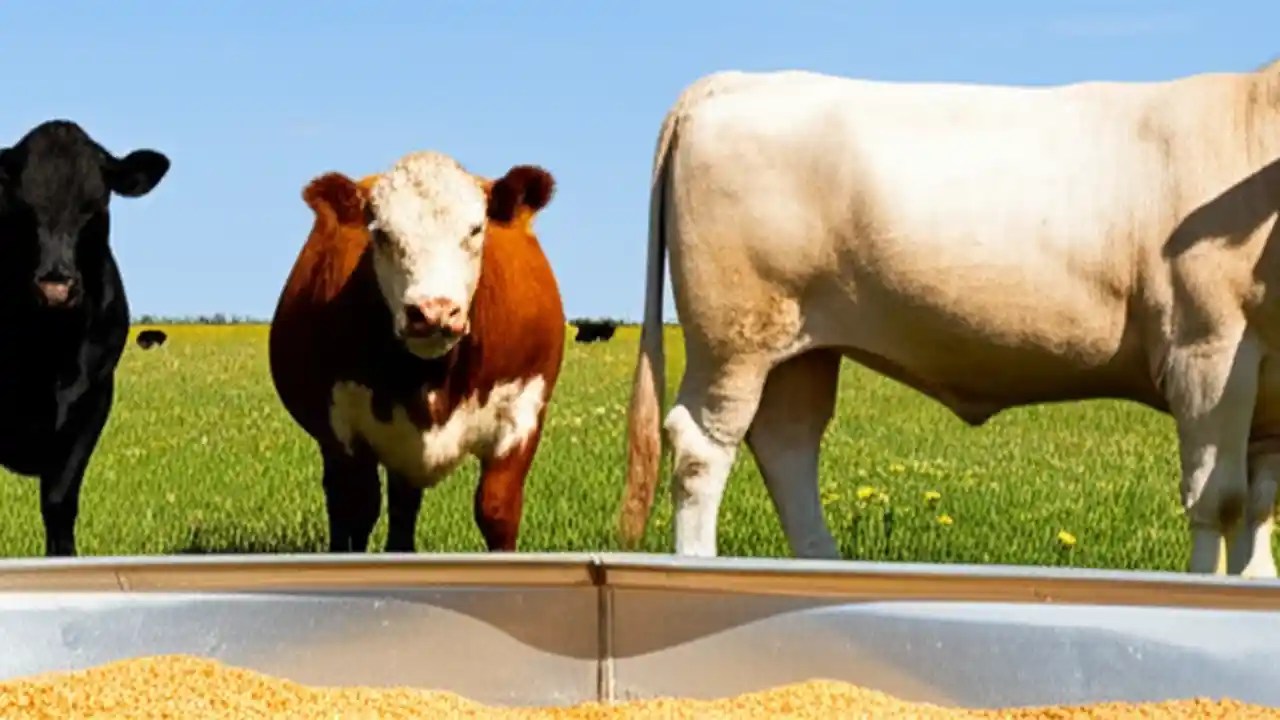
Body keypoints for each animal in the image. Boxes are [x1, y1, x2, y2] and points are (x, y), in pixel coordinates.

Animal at [268, 151, 565, 553]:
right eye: (381, 233)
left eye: (476, 229)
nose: (433, 311)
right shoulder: (342, 427)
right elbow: (358, 508)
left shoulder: (523, 409)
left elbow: (496, 509)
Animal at [618, 61, 1280, 578]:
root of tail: (729, 81)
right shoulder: (1206, 346)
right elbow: (1219, 499)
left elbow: (1260, 503)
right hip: (734, 337)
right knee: (702, 449)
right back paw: (701, 566)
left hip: (801, 348)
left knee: (787, 444)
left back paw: (824, 566)